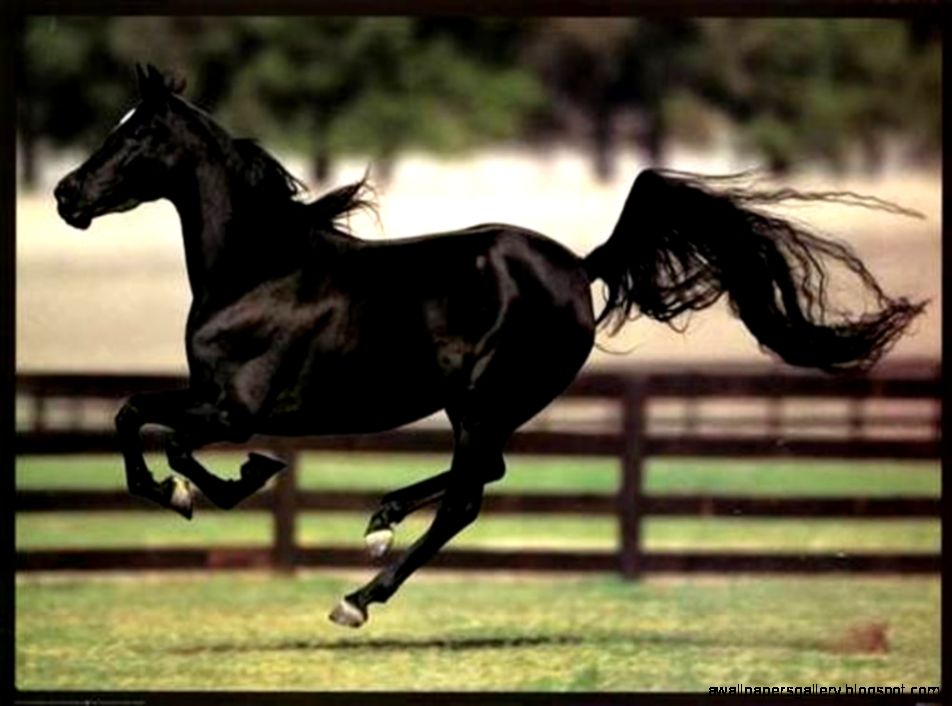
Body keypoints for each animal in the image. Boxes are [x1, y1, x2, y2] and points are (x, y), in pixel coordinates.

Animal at [54, 65, 924, 628]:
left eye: (135, 136)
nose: (65, 195)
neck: (257, 267)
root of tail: (579, 267)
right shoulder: (217, 402)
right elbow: (139, 419)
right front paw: (216, 484)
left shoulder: (235, 406)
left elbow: (154, 429)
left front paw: (216, 485)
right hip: (481, 404)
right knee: (483, 475)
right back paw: (380, 518)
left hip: (484, 398)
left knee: (469, 496)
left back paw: (357, 598)